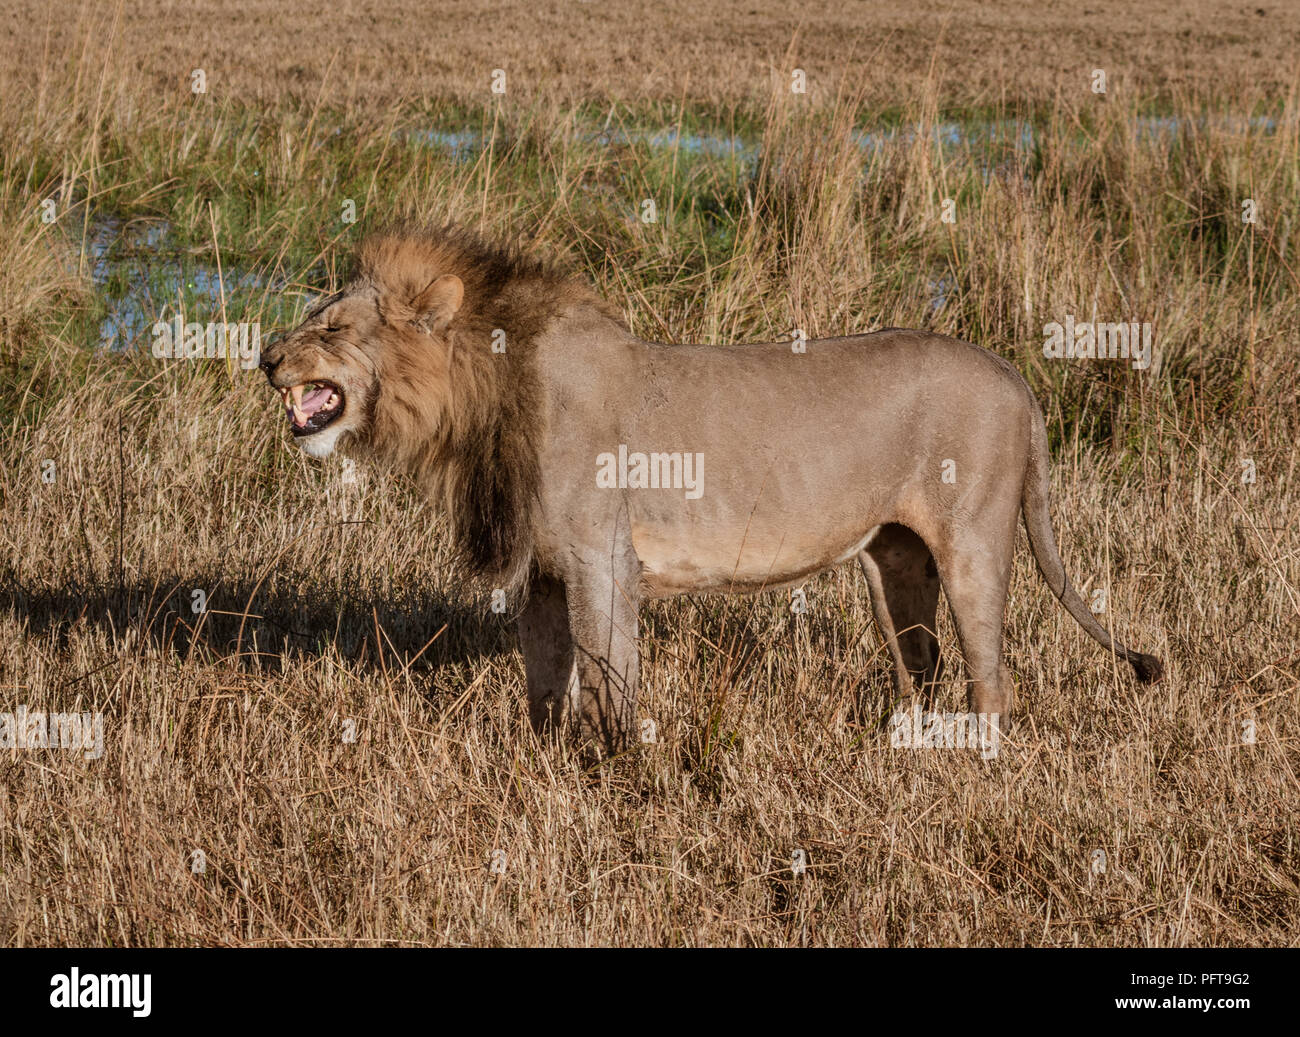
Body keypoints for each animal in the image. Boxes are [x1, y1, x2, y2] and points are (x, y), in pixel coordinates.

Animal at [260, 224, 1163, 752]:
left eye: (331, 326)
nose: (265, 356)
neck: (485, 391)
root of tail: (1015, 376)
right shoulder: (546, 568)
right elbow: (546, 682)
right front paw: (543, 768)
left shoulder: (601, 557)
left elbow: (610, 678)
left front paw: (617, 770)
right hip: (895, 560)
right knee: (922, 664)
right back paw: (909, 750)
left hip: (974, 543)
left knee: (990, 676)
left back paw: (974, 763)